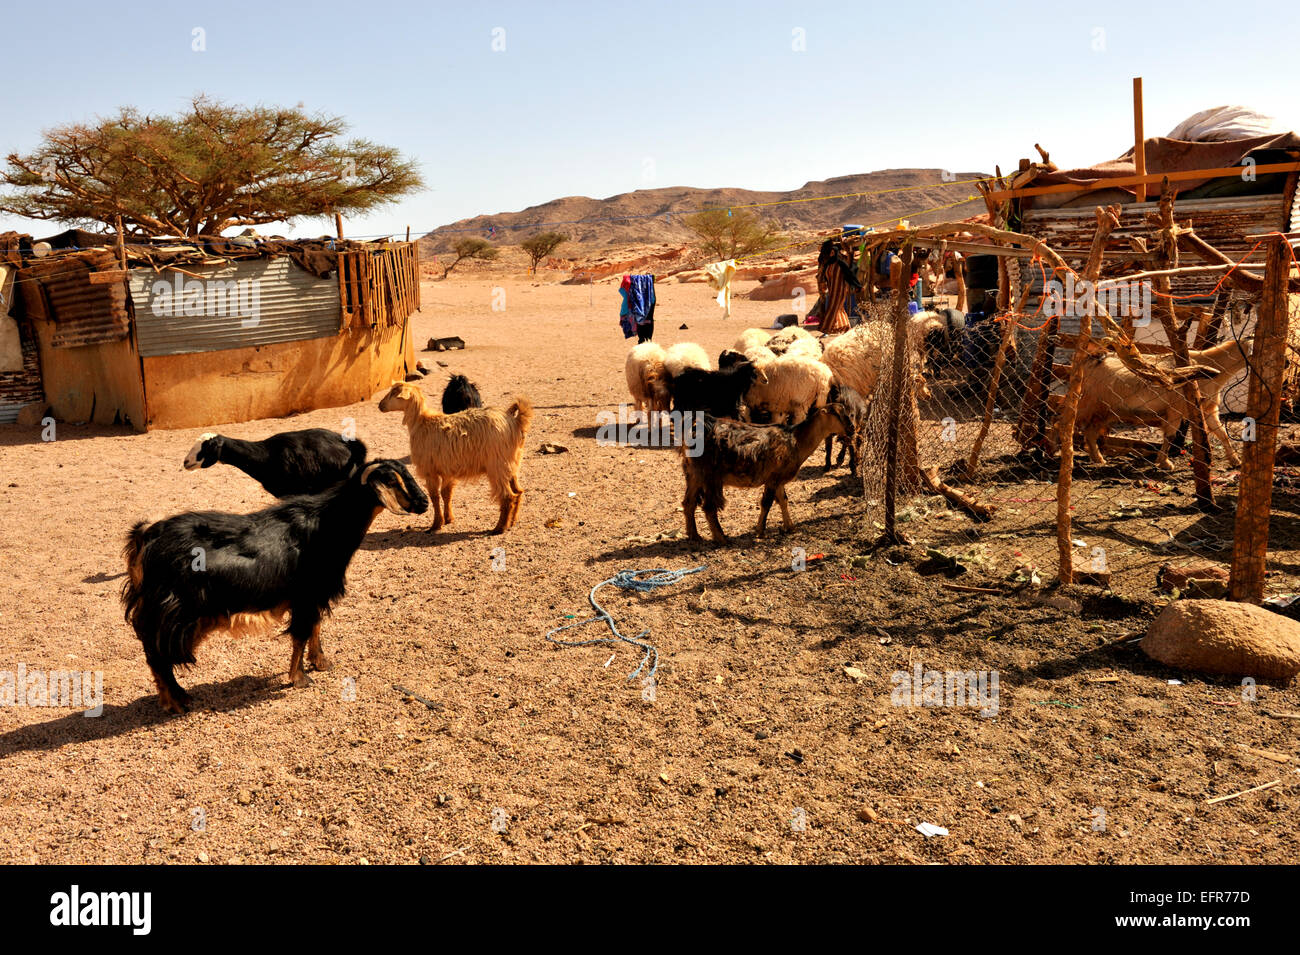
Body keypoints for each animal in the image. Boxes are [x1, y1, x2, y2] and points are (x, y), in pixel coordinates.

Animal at [122, 459, 428, 714]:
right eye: (393, 481)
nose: (424, 502)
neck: (327, 526)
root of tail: (146, 537)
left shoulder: (315, 597)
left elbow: (316, 628)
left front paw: (321, 663)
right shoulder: (305, 596)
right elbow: (301, 634)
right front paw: (300, 678)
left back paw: (177, 697)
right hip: (172, 614)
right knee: (157, 655)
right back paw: (175, 702)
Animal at [378, 381, 532, 533]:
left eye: (393, 393)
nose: (380, 405)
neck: (421, 422)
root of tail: (516, 422)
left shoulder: (430, 470)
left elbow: (434, 496)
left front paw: (435, 525)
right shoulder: (447, 469)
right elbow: (446, 494)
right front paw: (448, 519)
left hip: (497, 466)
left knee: (507, 496)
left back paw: (499, 528)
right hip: (511, 464)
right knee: (518, 492)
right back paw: (512, 522)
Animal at [681, 401, 854, 543]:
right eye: (837, 414)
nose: (852, 428)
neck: (795, 440)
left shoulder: (779, 479)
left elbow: (783, 500)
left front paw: (790, 527)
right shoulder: (772, 478)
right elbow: (767, 503)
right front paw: (760, 531)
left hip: (694, 474)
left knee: (689, 502)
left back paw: (694, 535)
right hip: (710, 475)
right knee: (709, 507)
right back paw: (721, 538)